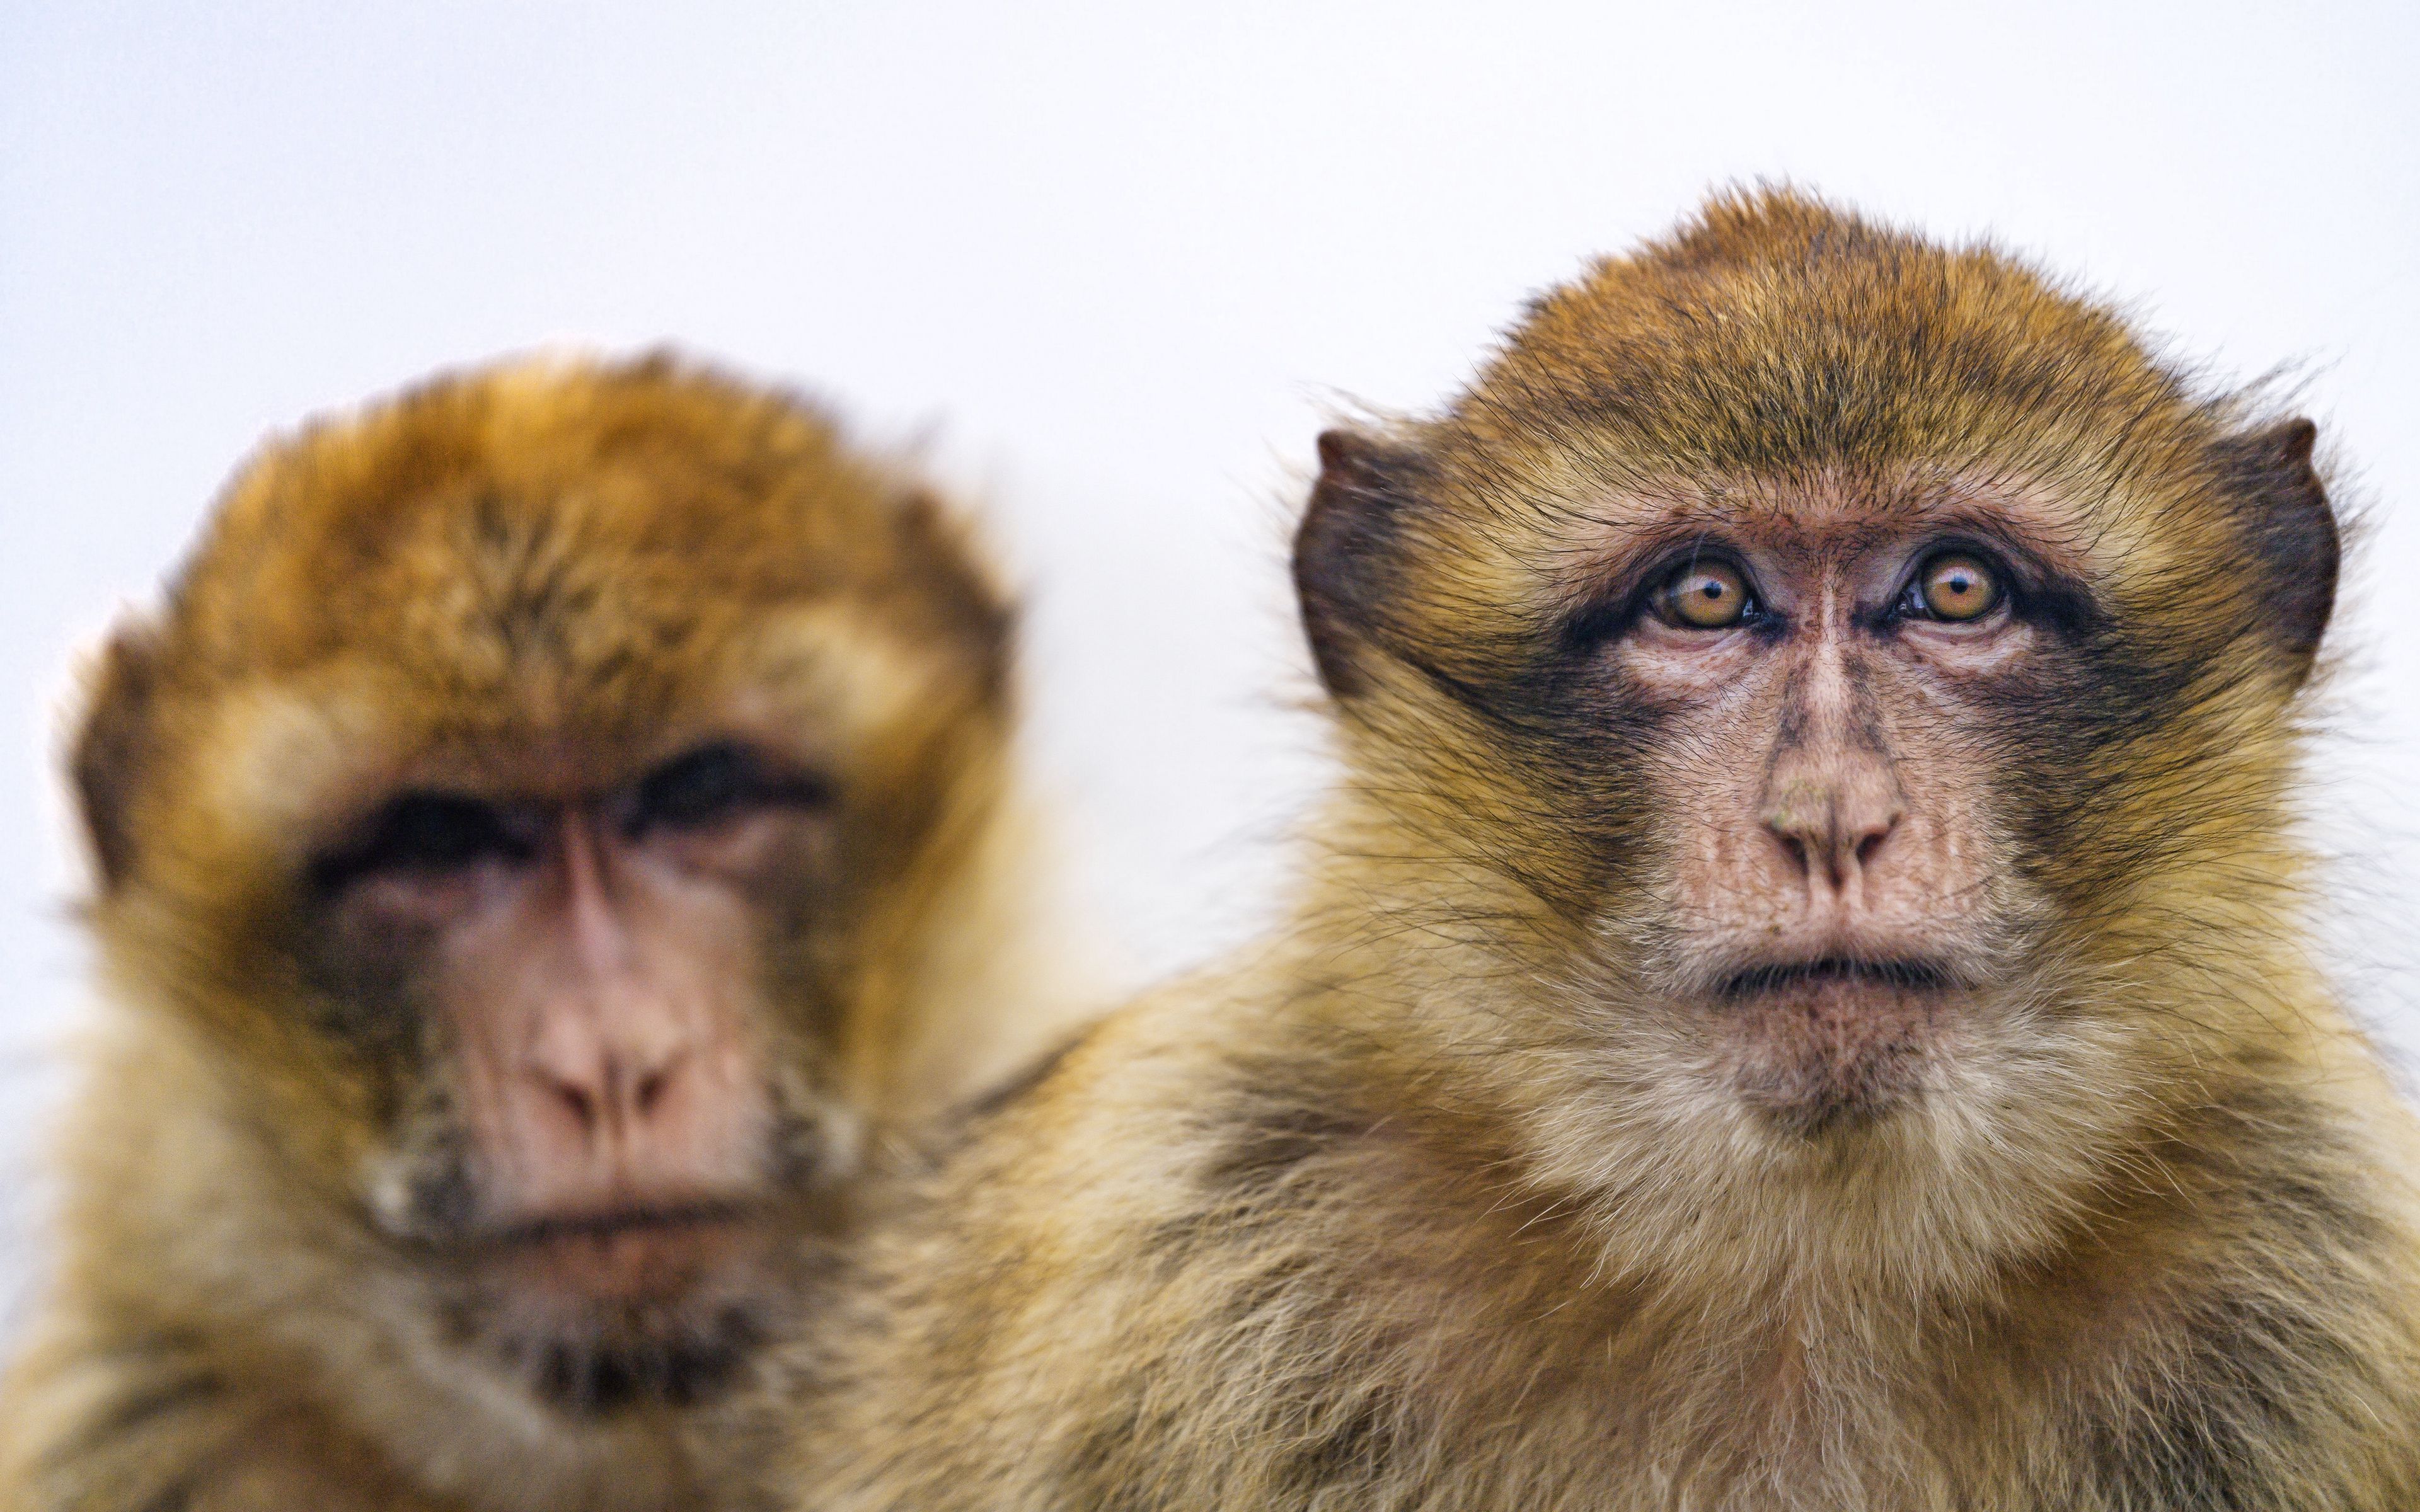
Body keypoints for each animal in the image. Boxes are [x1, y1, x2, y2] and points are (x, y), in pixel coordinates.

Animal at [778, 190, 2420, 1511]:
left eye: (1957, 589)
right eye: (1703, 598)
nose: (1829, 813)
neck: (1799, 1281)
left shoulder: (2342, 1248)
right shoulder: (1165, 1228)